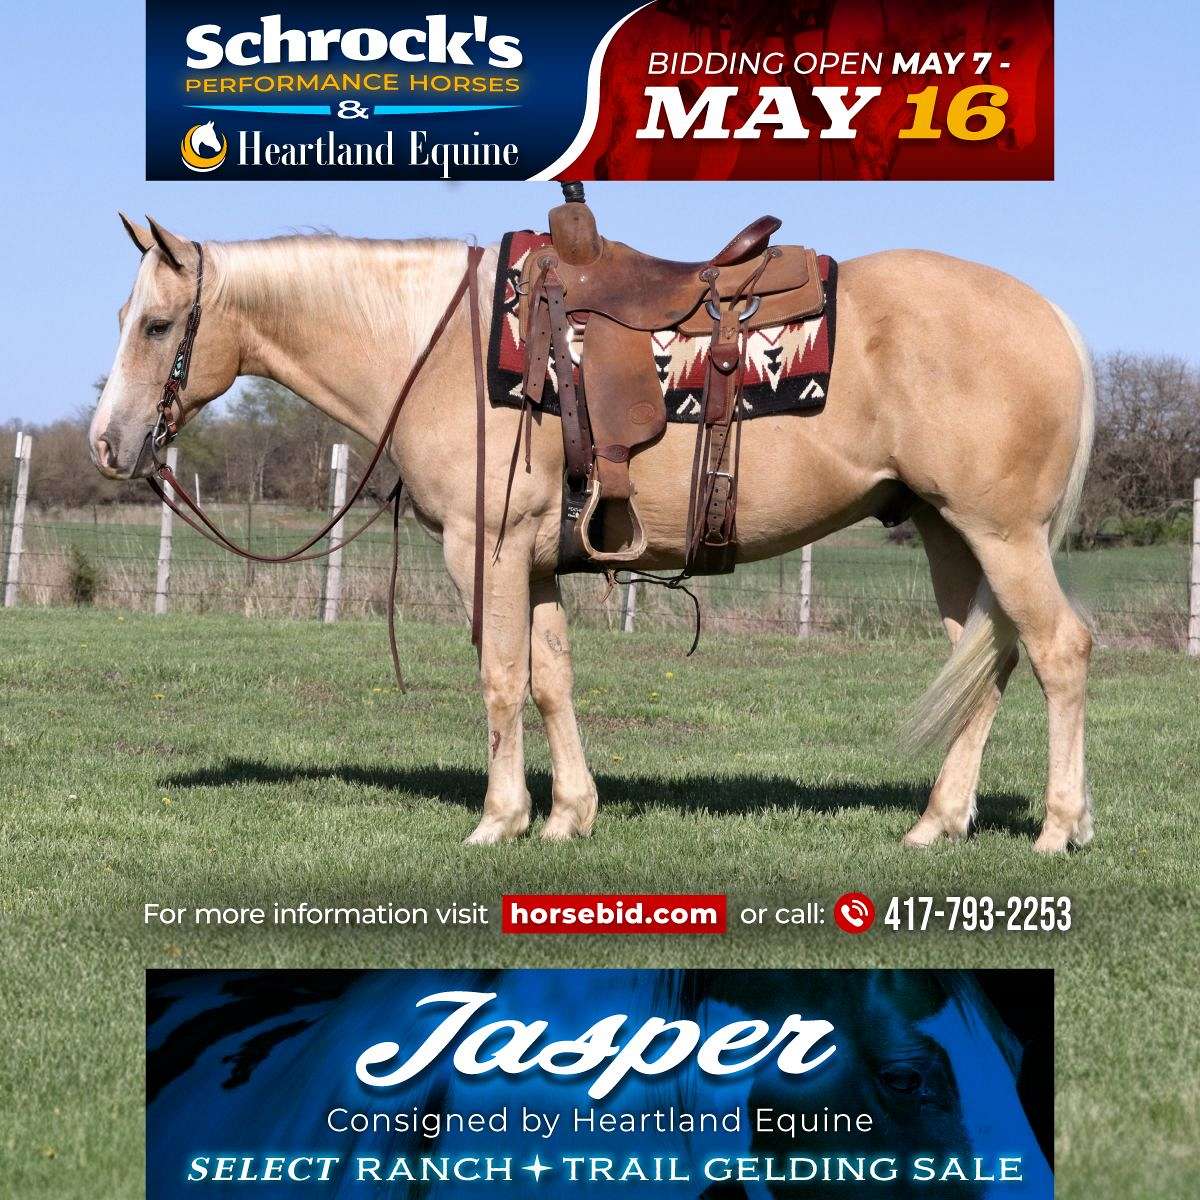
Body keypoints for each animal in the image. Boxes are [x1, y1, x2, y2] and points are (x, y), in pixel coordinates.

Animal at [89, 214, 1095, 852]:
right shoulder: (535, 562)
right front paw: (569, 814)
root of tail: (1054, 318)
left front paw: (498, 820)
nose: (108, 443)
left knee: (1059, 650)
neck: (442, 348)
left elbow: (500, 682)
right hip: (946, 532)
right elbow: (550, 680)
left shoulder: (485, 549)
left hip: (1001, 533)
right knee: (984, 660)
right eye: (125, 318)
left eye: (158, 325)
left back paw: (1058, 827)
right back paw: (938, 822)